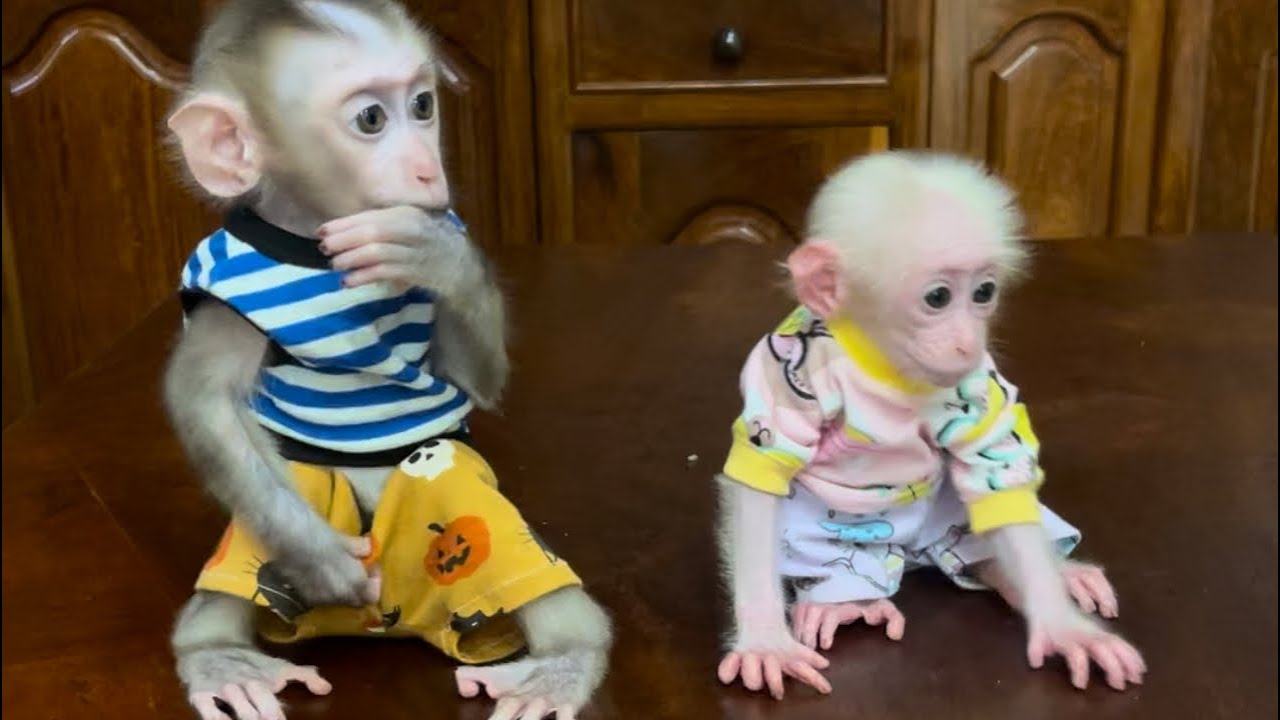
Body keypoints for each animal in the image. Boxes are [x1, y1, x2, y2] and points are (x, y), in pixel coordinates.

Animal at [160, 3, 611, 719]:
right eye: (372, 119)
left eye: (423, 106)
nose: (428, 169)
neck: (314, 239)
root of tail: (389, 619)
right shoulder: (225, 273)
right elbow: (205, 400)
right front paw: (321, 561)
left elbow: (476, 379)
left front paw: (436, 258)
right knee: (290, 486)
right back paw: (221, 658)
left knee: (450, 473)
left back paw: (563, 662)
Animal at [714, 151, 1146, 700]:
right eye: (938, 298)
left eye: (983, 292)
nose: (966, 341)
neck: (885, 366)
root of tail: (918, 550)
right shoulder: (791, 373)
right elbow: (761, 481)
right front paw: (766, 639)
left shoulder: (978, 384)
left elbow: (995, 471)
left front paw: (1065, 627)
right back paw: (848, 602)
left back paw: (1032, 572)